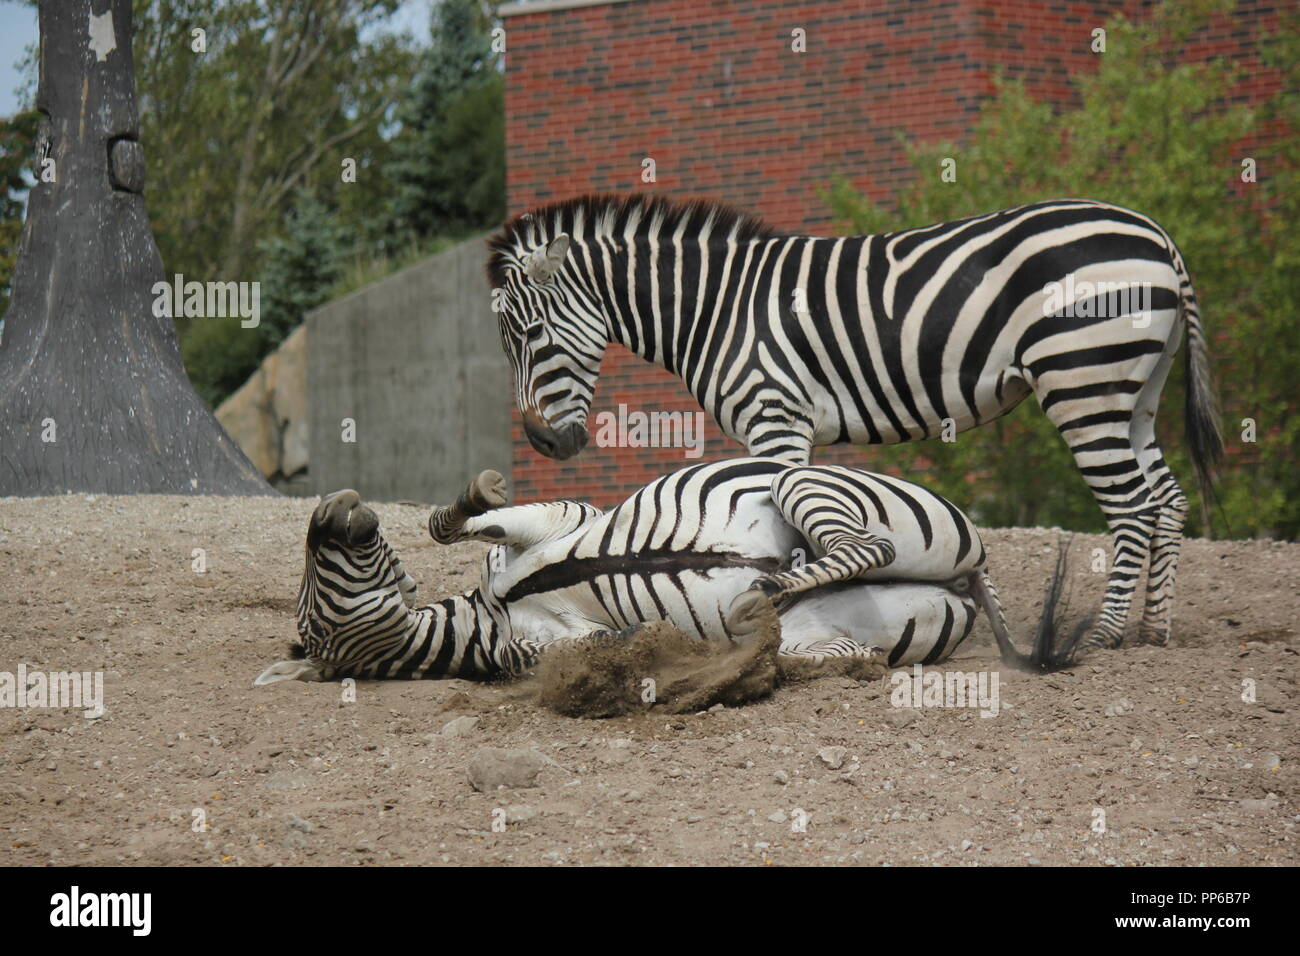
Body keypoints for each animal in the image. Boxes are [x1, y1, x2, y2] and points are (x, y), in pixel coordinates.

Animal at [253, 459, 1074, 687]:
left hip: (809, 484)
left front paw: (475, 495)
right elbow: (604, 646)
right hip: (880, 619)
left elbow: (462, 522)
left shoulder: (555, 520)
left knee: (857, 543)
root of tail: (973, 571)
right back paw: (772, 613)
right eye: (310, 608)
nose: (332, 507)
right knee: (842, 628)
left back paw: (772, 578)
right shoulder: (545, 648)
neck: (499, 610)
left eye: (305, 582)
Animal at [486, 194, 1223, 655]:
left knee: (1131, 505)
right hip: (1135, 388)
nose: (543, 443)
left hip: (1081, 378)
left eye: (529, 336)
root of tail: (1157, 236)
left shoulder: (774, 416)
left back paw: (1104, 635)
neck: (714, 309)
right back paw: (1152, 631)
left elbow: (785, 526)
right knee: (1166, 497)